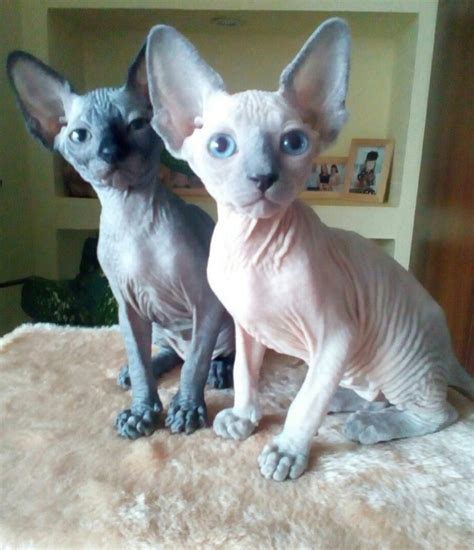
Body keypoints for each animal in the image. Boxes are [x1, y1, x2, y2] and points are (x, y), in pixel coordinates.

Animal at [6, 46, 236, 440]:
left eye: (137, 125)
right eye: (80, 135)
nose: (110, 151)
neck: (131, 219)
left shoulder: (204, 302)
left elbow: (195, 366)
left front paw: (186, 409)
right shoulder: (127, 308)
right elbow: (141, 362)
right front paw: (142, 412)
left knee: (208, 354)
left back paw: (221, 370)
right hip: (158, 323)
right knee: (169, 353)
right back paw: (141, 369)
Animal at [146, 19, 472, 480]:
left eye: (294, 143)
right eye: (221, 146)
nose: (263, 176)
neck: (251, 246)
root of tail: (449, 351)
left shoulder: (336, 335)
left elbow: (304, 402)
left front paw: (287, 450)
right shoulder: (246, 328)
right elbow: (245, 374)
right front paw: (244, 418)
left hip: (401, 356)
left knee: (441, 412)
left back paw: (370, 423)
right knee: (370, 392)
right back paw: (350, 403)